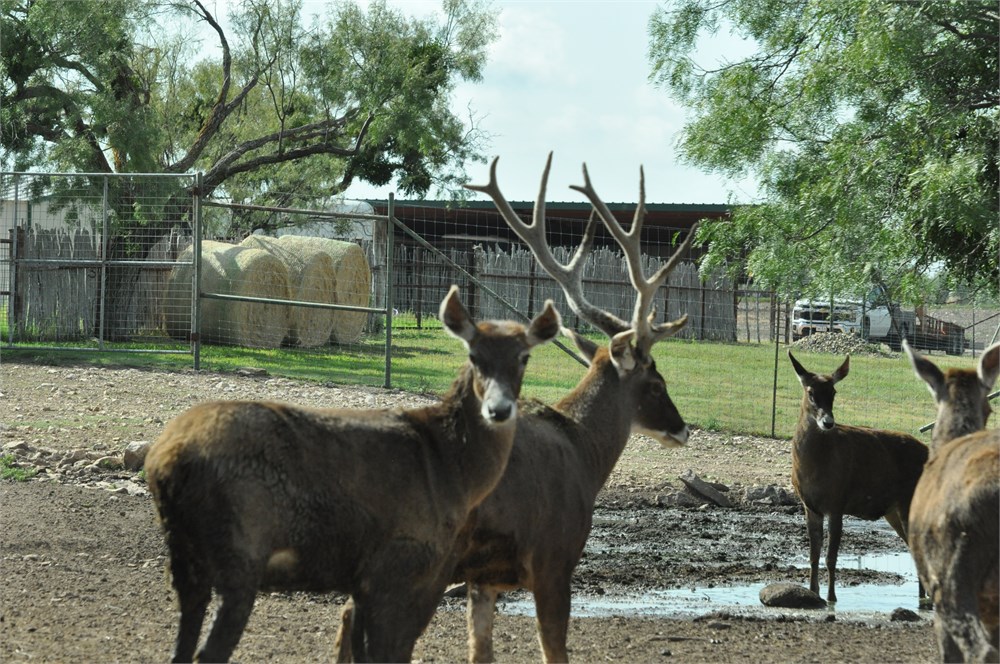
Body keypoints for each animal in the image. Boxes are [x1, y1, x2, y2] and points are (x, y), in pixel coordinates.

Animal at [144, 285, 561, 663]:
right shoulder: (396, 566)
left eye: (524, 357)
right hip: (239, 549)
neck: (452, 472)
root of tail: (165, 459)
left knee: (182, 649)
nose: (499, 409)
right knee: (207, 652)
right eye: (474, 355)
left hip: (184, 555)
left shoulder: (364, 580)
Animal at [335, 152, 694, 663]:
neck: (584, 453)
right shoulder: (554, 560)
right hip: (424, 561)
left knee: (347, 617)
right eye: (657, 382)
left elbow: (480, 652)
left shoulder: (484, 579)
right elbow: (554, 652)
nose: (683, 429)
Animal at [787, 351, 929, 604]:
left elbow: (830, 556)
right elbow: (813, 555)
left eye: (833, 392)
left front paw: (831, 598)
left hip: (909, 501)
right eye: (811, 392)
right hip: (893, 511)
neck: (812, 470)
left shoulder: (837, 501)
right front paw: (813, 592)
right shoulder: (809, 506)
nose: (828, 422)